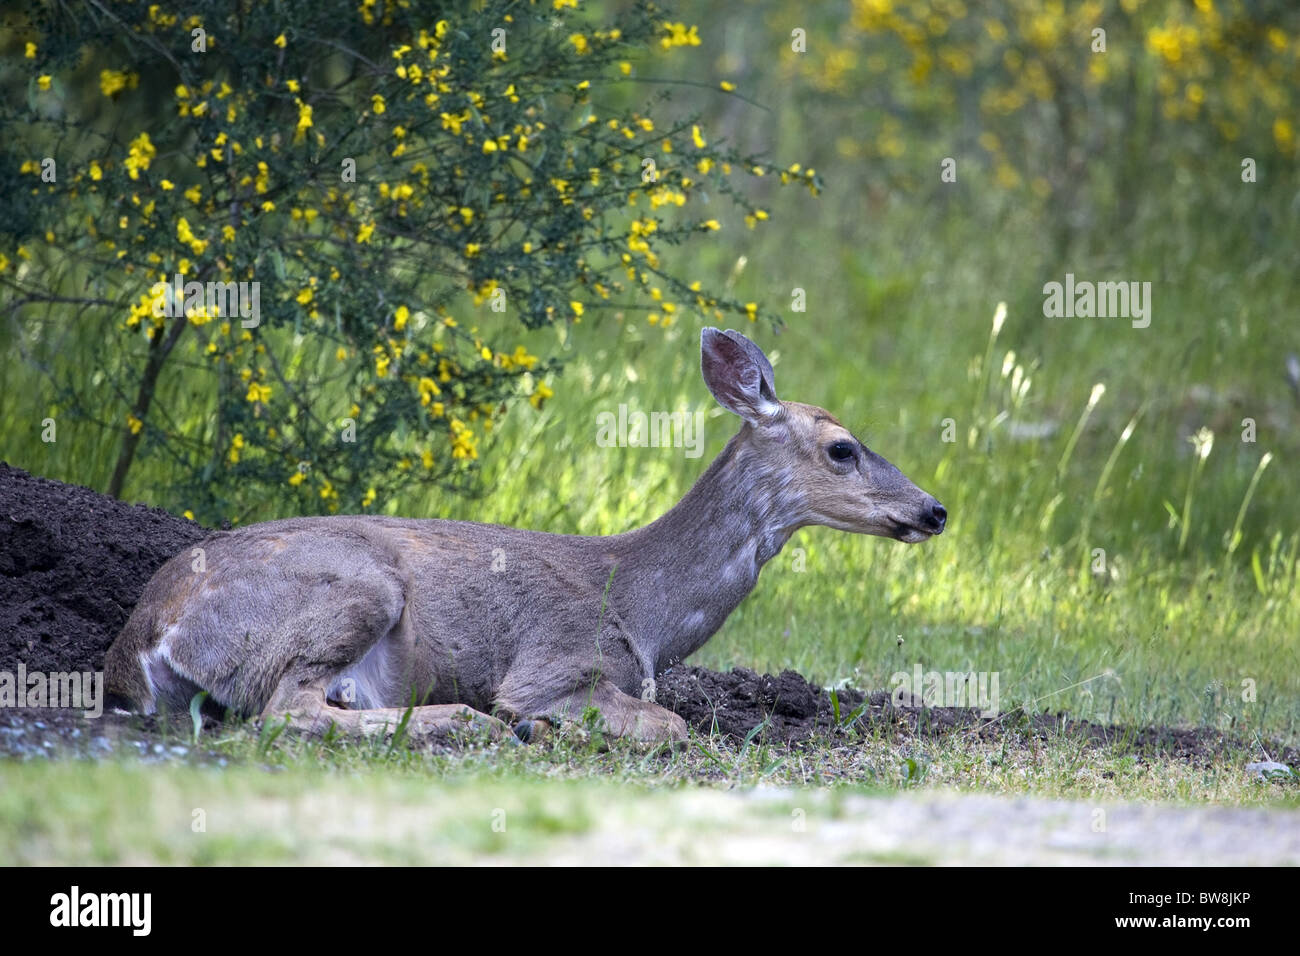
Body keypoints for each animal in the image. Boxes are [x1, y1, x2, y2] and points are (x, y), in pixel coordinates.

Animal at [105, 328, 946, 744]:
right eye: (842, 448)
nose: (935, 510)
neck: (645, 612)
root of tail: (144, 635)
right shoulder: (555, 660)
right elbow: (670, 724)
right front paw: (544, 725)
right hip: (356, 587)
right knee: (288, 708)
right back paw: (461, 723)